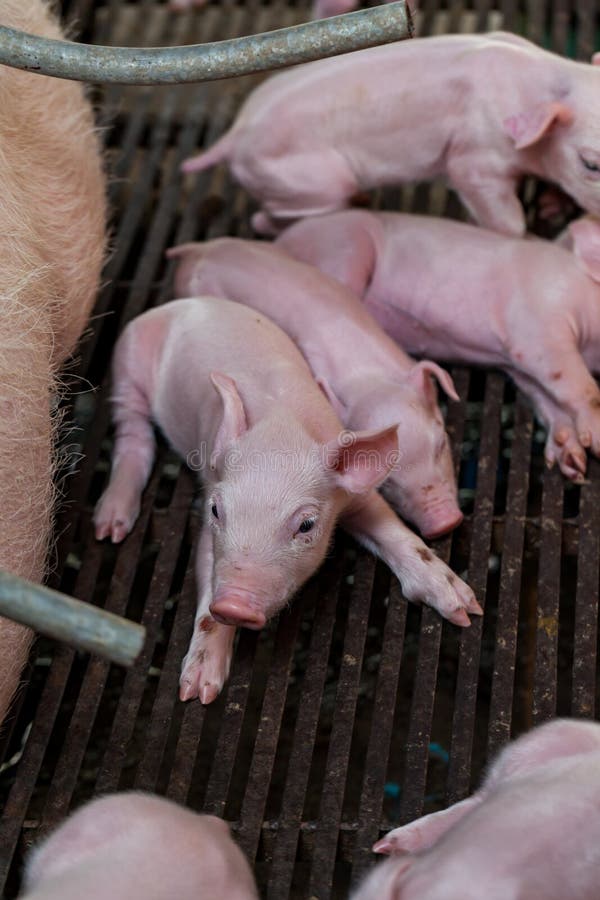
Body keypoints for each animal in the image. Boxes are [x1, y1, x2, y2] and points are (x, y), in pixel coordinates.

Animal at [94, 297, 480, 703]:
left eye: (306, 525)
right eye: (216, 510)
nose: (233, 604)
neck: (281, 428)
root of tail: (175, 305)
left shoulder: (353, 494)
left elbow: (397, 535)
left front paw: (465, 608)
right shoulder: (210, 517)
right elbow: (206, 574)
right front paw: (197, 692)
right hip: (126, 362)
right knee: (132, 435)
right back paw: (110, 528)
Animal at [181, 31, 600, 237]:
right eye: (591, 164)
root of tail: (235, 135)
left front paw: (552, 207)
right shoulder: (475, 157)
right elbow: (502, 217)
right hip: (309, 179)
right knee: (266, 219)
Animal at [277, 209, 600, 482]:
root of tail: (282, 240)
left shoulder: (517, 364)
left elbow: (548, 399)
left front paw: (574, 464)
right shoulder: (538, 327)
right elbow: (575, 383)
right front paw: (596, 438)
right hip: (347, 246)